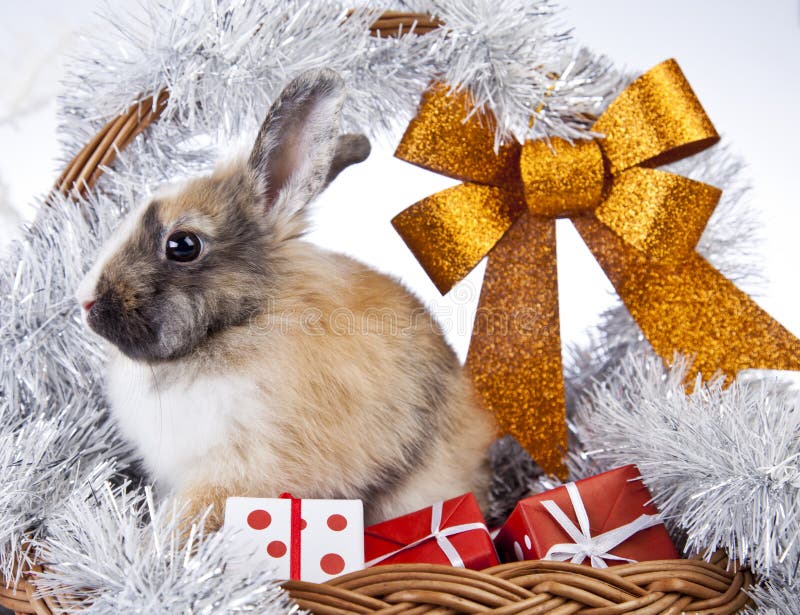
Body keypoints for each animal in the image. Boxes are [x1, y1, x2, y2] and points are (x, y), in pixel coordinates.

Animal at [76, 68, 496, 531]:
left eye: (183, 245)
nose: (85, 302)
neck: (239, 325)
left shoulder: (235, 472)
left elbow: (190, 517)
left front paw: (156, 544)